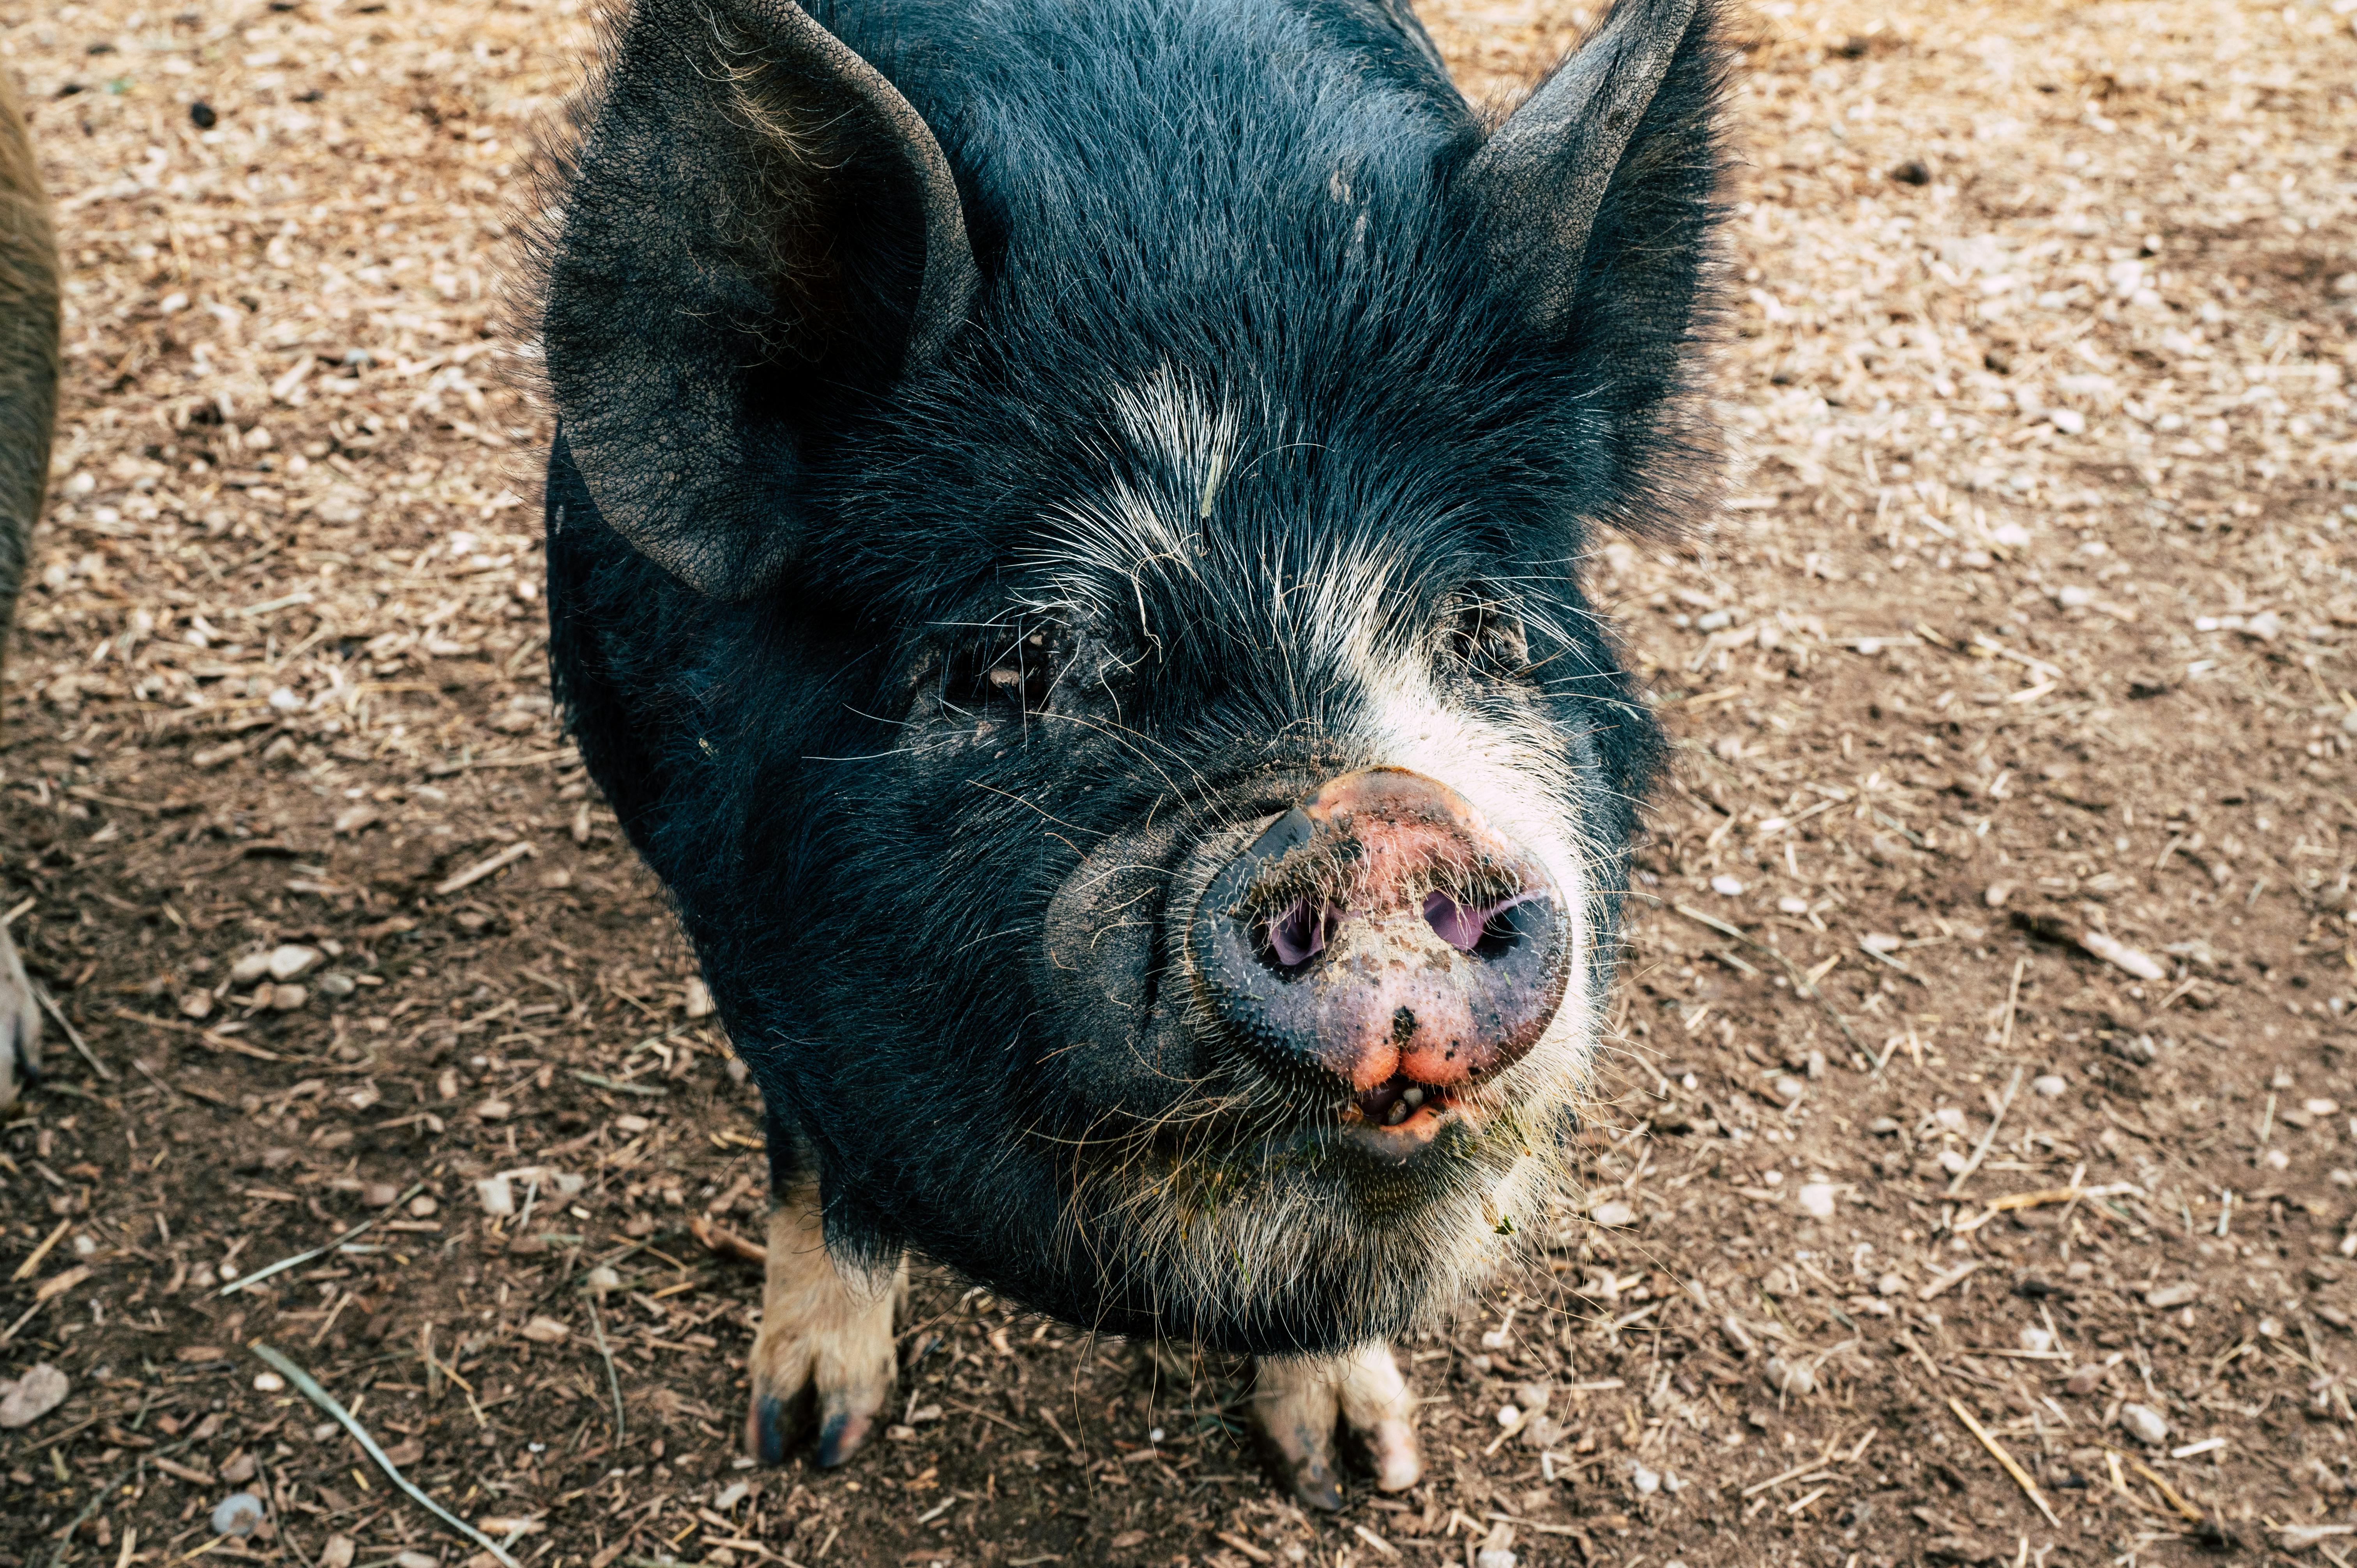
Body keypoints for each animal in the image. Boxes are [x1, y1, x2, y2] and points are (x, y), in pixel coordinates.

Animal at [532, 0, 1724, 1507]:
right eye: (1002, 665)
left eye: (1483, 627)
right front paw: (807, 1435)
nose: (1381, 814)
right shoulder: (733, 918)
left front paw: (1355, 1470)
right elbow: (819, 1153)